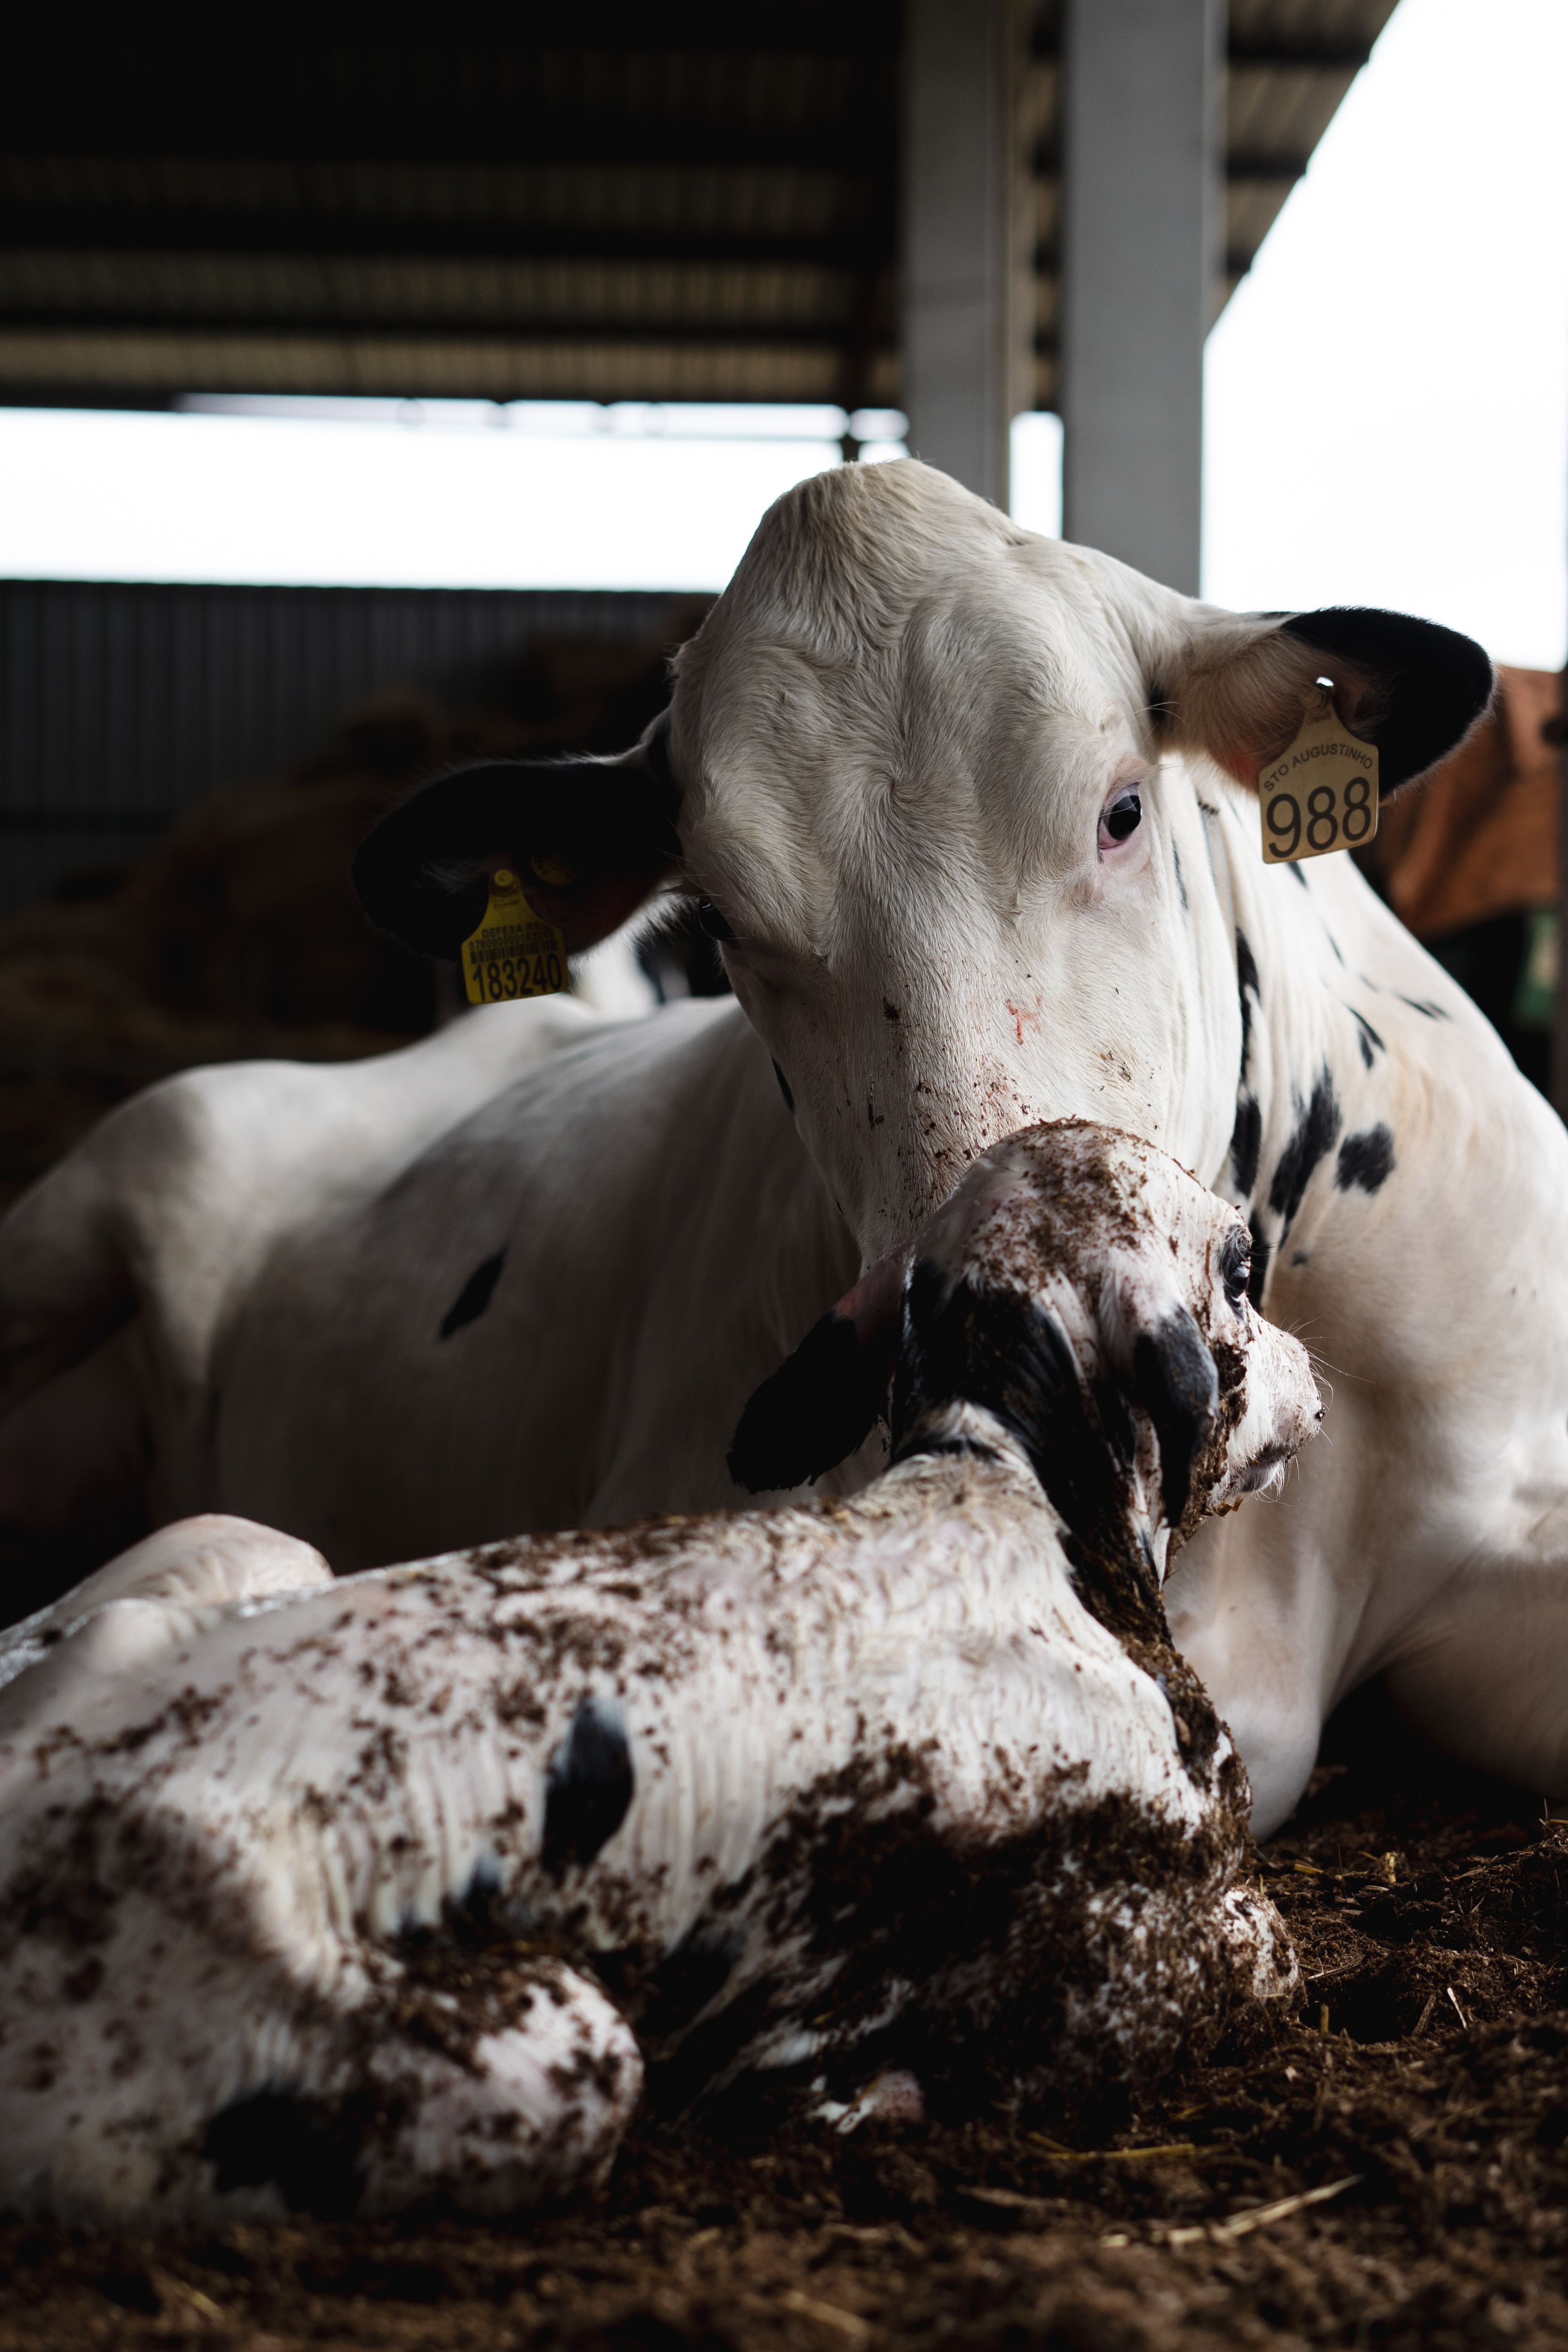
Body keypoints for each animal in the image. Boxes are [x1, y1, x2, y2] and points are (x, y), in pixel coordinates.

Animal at [0, 1122, 1315, 2226]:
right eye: (1243, 1266)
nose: (1313, 1369)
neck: (1005, 1494)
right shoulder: (1160, 1954)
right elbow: (1257, 1959)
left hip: (241, 1557)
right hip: (552, 2059)